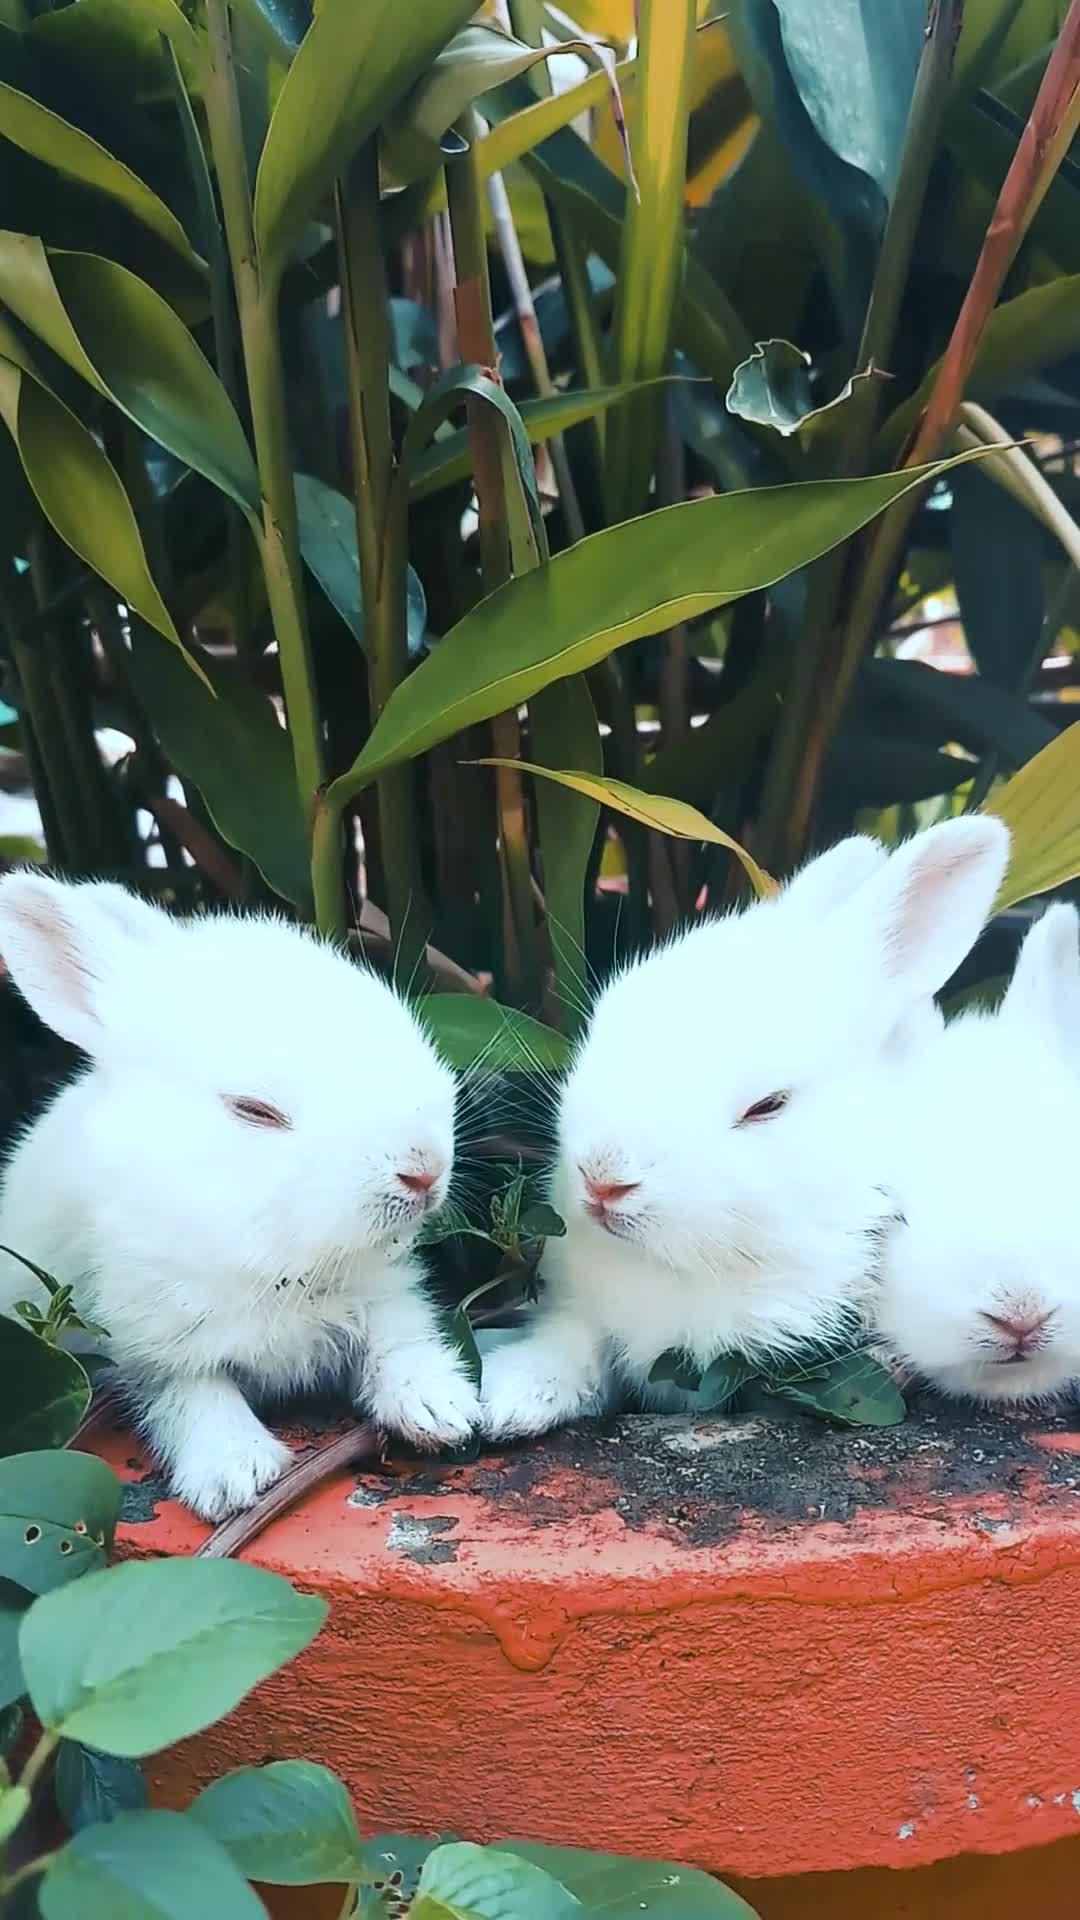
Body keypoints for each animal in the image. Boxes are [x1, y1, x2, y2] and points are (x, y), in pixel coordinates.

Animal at [0, 874, 480, 1518]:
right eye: (255, 1111)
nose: (424, 1169)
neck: (275, 1260)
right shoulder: (148, 1346)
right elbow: (195, 1397)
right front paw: (235, 1477)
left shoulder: (386, 1292)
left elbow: (400, 1339)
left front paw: (440, 1409)